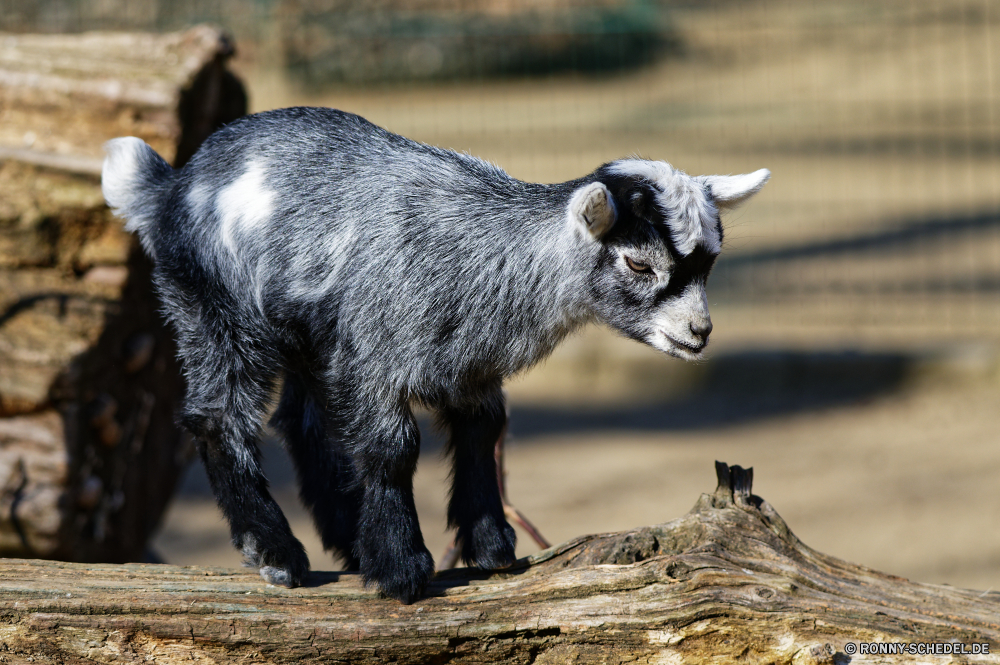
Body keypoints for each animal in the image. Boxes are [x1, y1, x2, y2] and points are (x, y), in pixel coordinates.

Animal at [101, 107, 768, 600]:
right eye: (638, 263)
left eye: (710, 262)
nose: (699, 332)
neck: (491, 256)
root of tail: (169, 188)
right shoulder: (376, 351)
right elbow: (393, 448)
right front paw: (402, 572)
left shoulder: (468, 368)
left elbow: (481, 430)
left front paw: (492, 550)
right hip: (215, 303)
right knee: (219, 417)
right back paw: (277, 552)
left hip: (314, 337)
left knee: (304, 423)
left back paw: (348, 541)